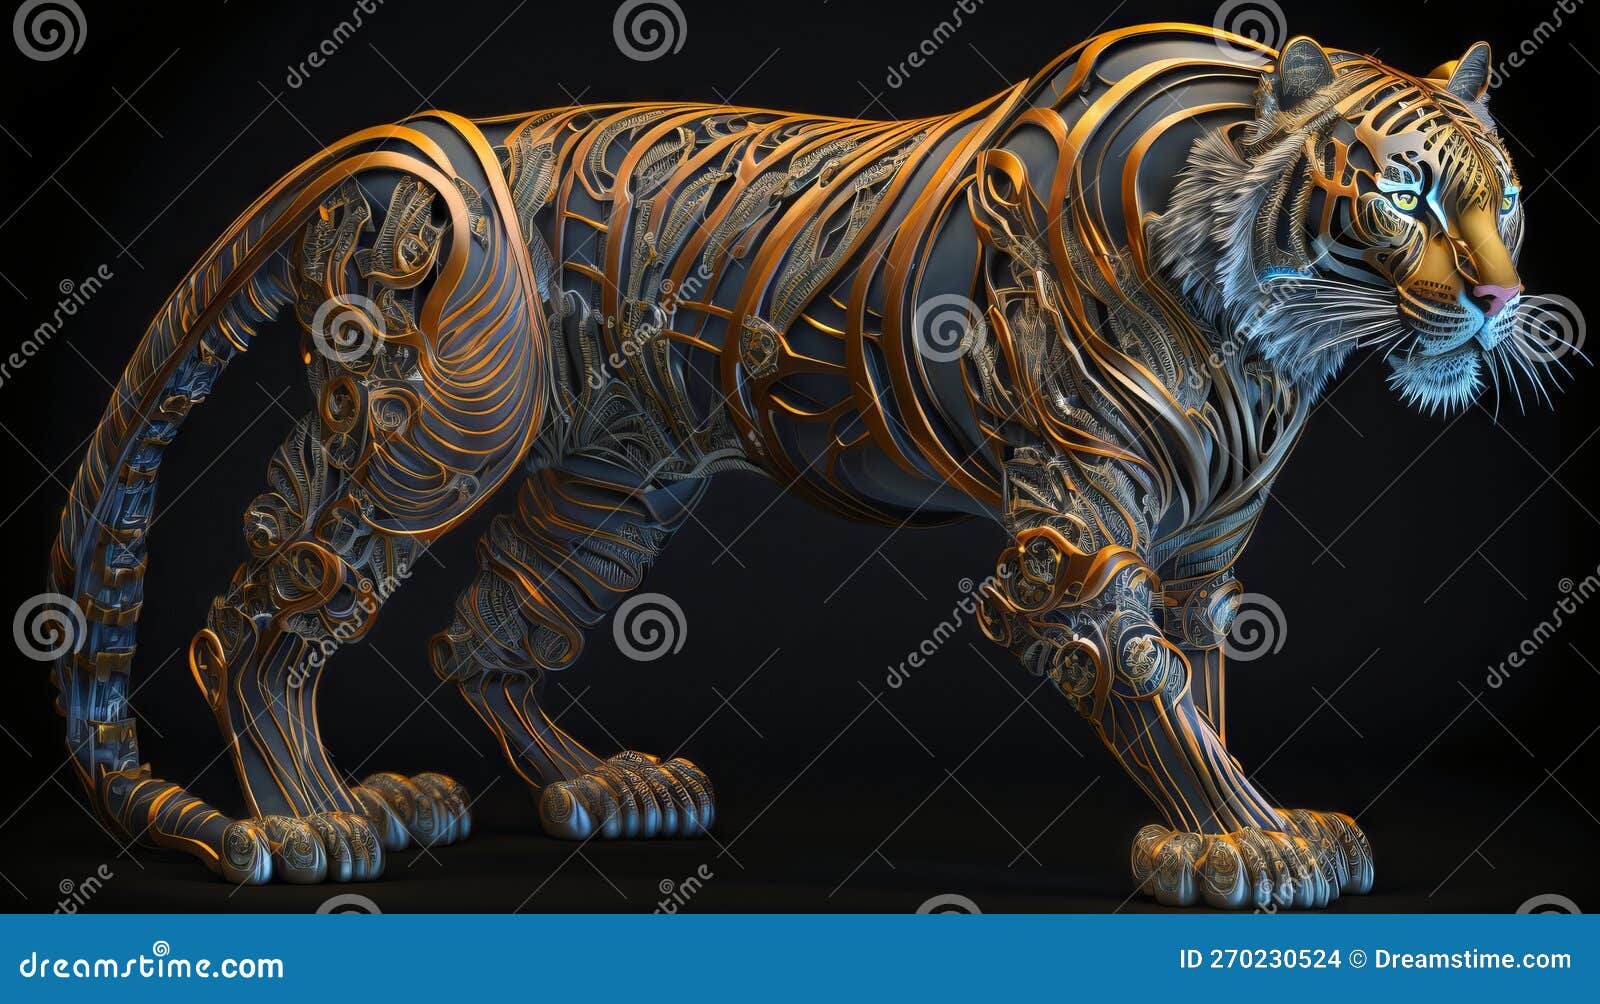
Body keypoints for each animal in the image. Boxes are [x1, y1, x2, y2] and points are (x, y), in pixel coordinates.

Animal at [43, 22, 1561, 909]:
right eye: (1407, 193)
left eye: (1507, 198)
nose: (1501, 299)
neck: (1264, 336)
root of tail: (387, 154)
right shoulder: (1077, 537)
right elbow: (1148, 689)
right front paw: (1251, 843)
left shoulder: (1200, 550)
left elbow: (1201, 680)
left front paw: (1240, 823)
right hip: (433, 429)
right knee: (262, 620)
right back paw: (318, 816)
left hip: (607, 480)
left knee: (483, 635)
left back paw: (603, 788)